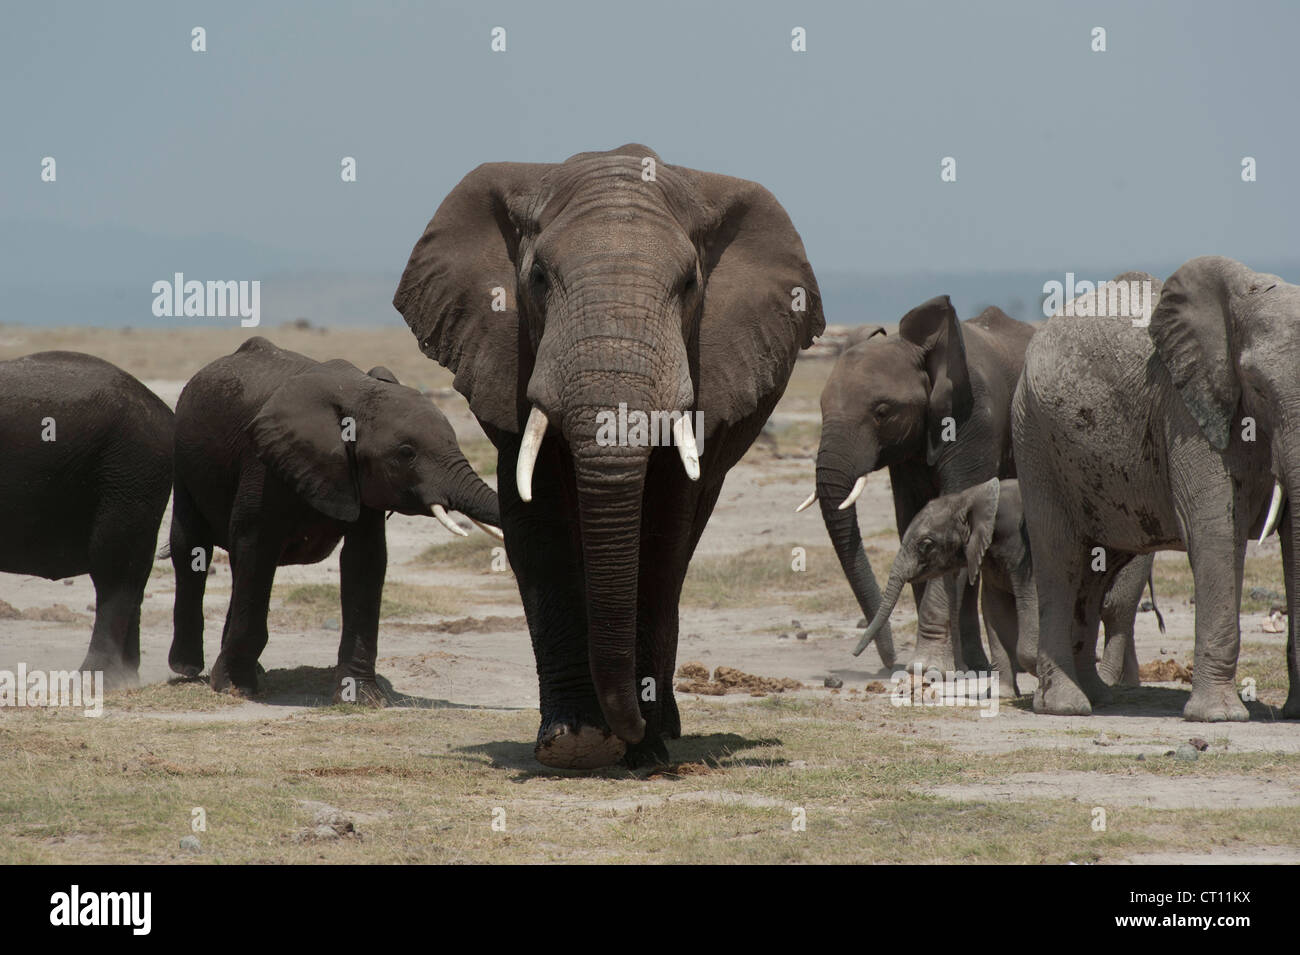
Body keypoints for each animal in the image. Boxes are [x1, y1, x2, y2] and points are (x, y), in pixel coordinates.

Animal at [166, 336, 500, 703]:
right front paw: (235, 688)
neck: (358, 393)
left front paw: (363, 698)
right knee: (192, 549)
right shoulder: (264, 463)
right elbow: (256, 549)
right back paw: (188, 668)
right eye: (406, 453)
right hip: (183, 459)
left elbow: (365, 561)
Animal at [392, 144, 824, 768]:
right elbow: (539, 525)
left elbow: (662, 531)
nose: (631, 730)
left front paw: (643, 749)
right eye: (538, 279)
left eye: (689, 284)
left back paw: (665, 726)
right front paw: (575, 744)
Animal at [798, 298, 1036, 673]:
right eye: (821, 407)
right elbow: (913, 519)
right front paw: (945, 667)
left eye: (882, 411)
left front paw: (926, 666)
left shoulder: (975, 421)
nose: (890, 660)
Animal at [858, 478, 1163, 695]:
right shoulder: (991, 558)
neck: (972, 498)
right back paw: (1125, 682)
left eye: (926, 545)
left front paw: (1042, 675)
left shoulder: (1025, 551)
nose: (855, 652)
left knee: (1114, 609)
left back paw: (1109, 680)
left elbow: (1030, 605)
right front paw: (1002, 694)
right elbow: (995, 610)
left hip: (1135, 558)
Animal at [1012, 261, 1300, 720]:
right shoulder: (1186, 412)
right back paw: (1065, 706)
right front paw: (1219, 716)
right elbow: (1216, 530)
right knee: (1061, 557)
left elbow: (1291, 540)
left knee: (1098, 568)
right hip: (1034, 438)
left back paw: (1098, 696)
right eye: (1256, 385)